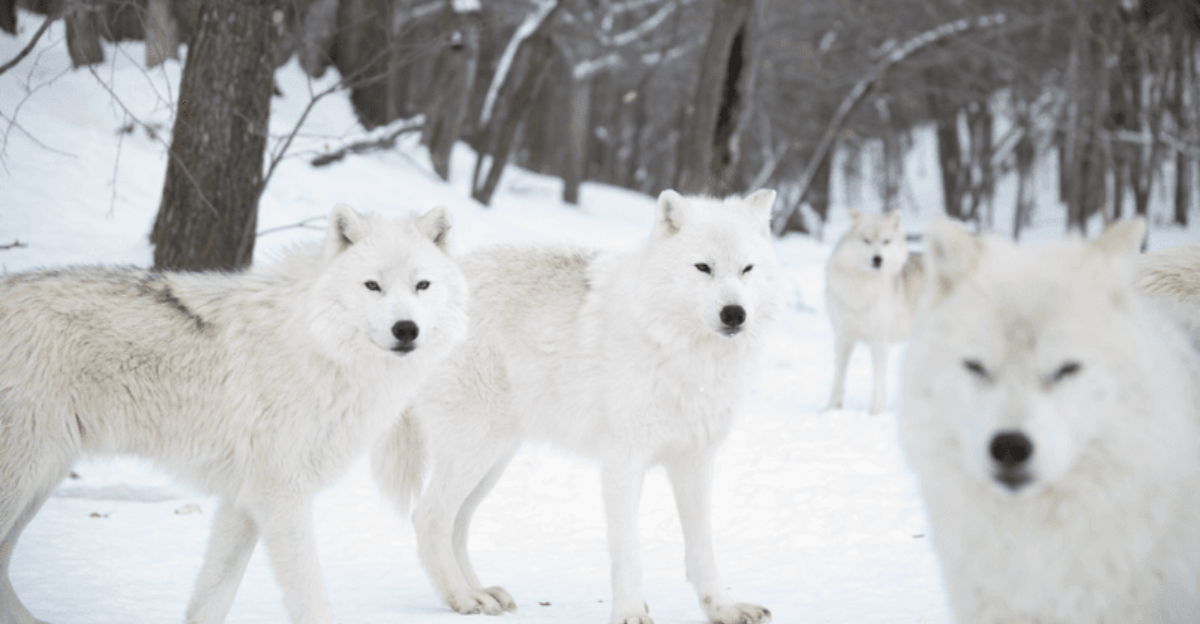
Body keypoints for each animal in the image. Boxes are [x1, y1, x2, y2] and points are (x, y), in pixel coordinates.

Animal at [0, 205, 469, 624]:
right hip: (27, 475)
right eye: (372, 285)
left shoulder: (242, 501)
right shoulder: (282, 497)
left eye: (422, 285)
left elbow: (212, 599)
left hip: (42, 477)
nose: (406, 329)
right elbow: (312, 603)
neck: (317, 347)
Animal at [371, 190, 781, 624]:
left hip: (493, 459)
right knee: (429, 518)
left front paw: (724, 608)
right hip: (475, 448)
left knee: (456, 525)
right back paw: (463, 599)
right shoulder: (623, 460)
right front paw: (630, 613)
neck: (685, 354)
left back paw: (480, 591)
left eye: (746, 269)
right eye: (703, 267)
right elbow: (628, 552)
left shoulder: (696, 461)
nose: (734, 313)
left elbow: (704, 551)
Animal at [824, 208, 924, 414]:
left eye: (886, 241)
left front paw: (876, 412)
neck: (862, 285)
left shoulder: (879, 341)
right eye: (867, 240)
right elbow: (838, 378)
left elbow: (878, 382)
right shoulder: (844, 338)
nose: (878, 259)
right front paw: (831, 410)